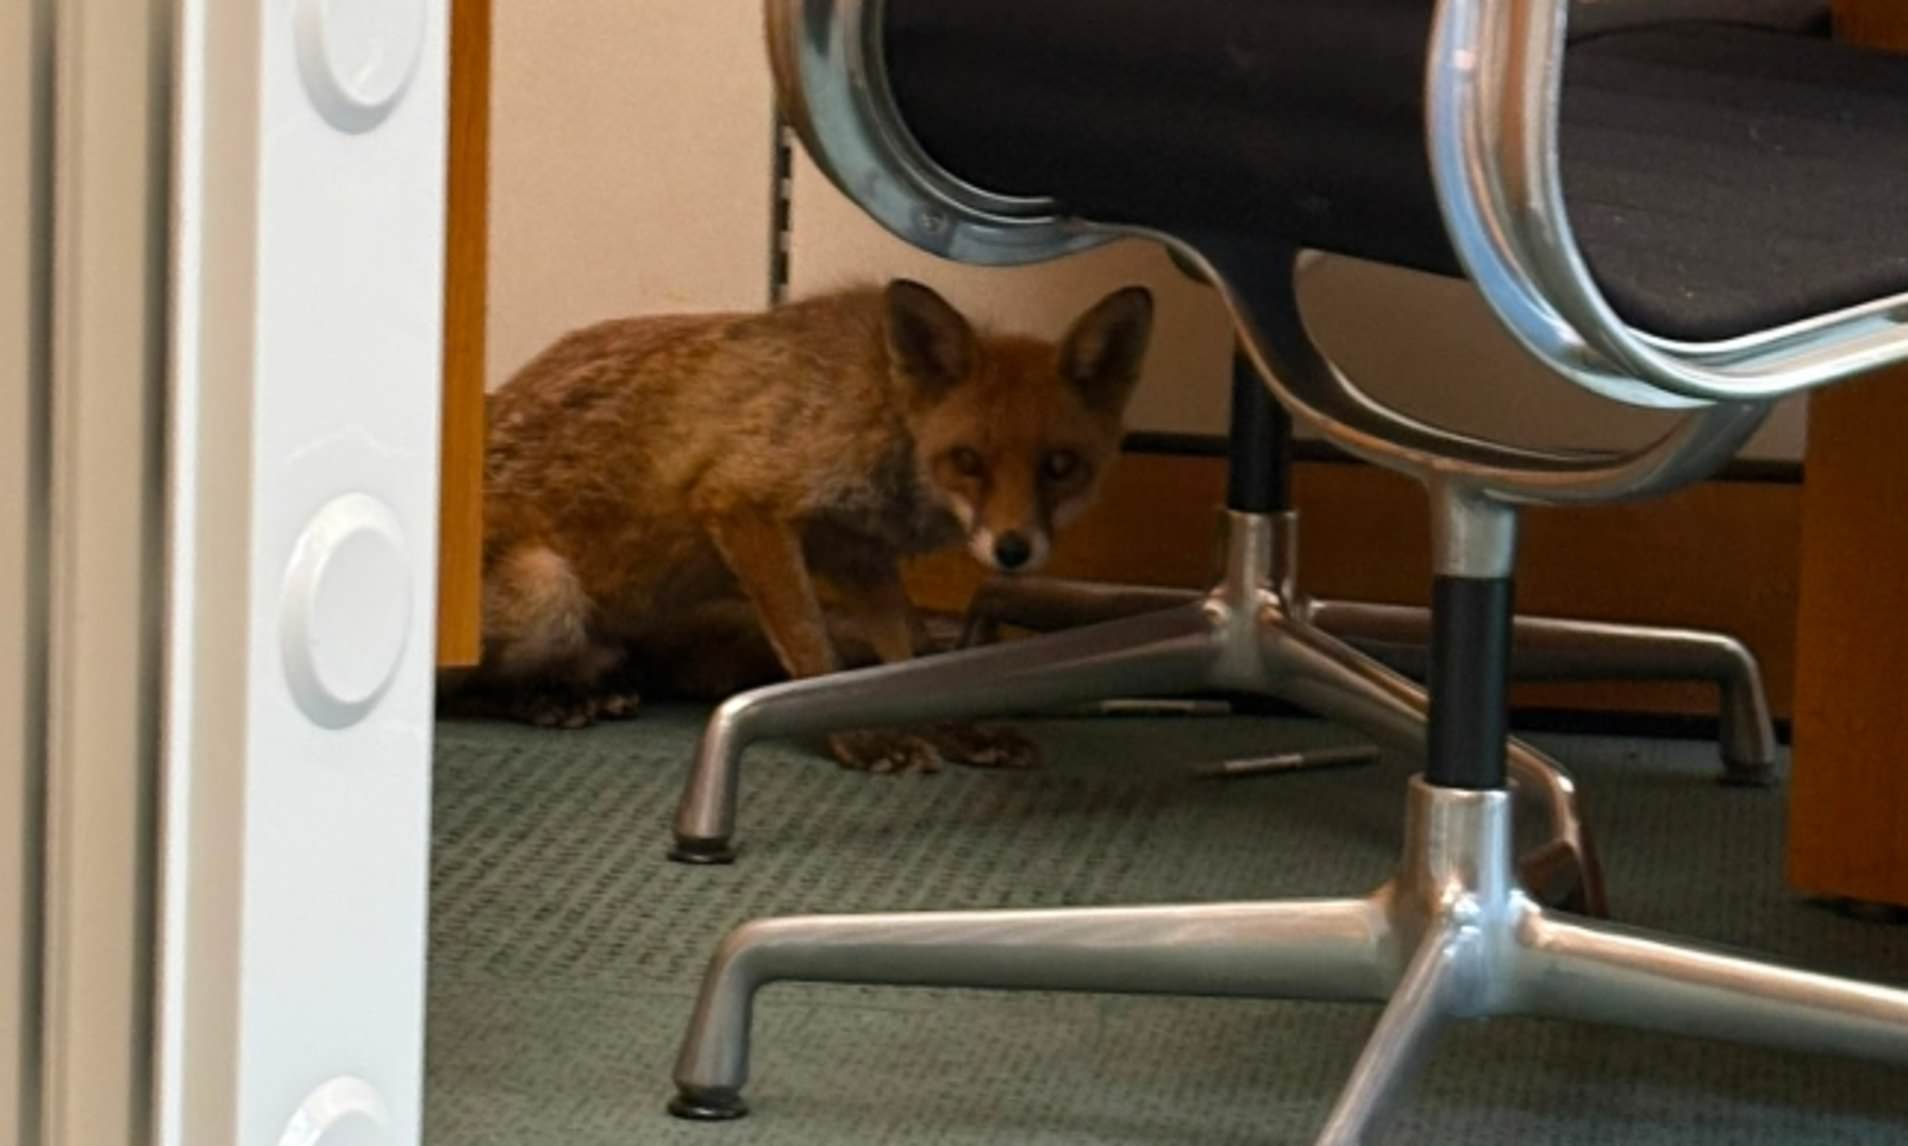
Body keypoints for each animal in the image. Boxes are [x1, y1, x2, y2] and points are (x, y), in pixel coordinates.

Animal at [444, 279, 1154, 773]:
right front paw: (861, 739)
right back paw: (544, 700)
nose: (1011, 551)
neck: (873, 409)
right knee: (457, 692)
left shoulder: (858, 554)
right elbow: (817, 655)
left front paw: (955, 730)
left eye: (1060, 466)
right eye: (969, 462)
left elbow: (914, 660)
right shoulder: (744, 506)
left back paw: (595, 687)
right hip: (547, 587)